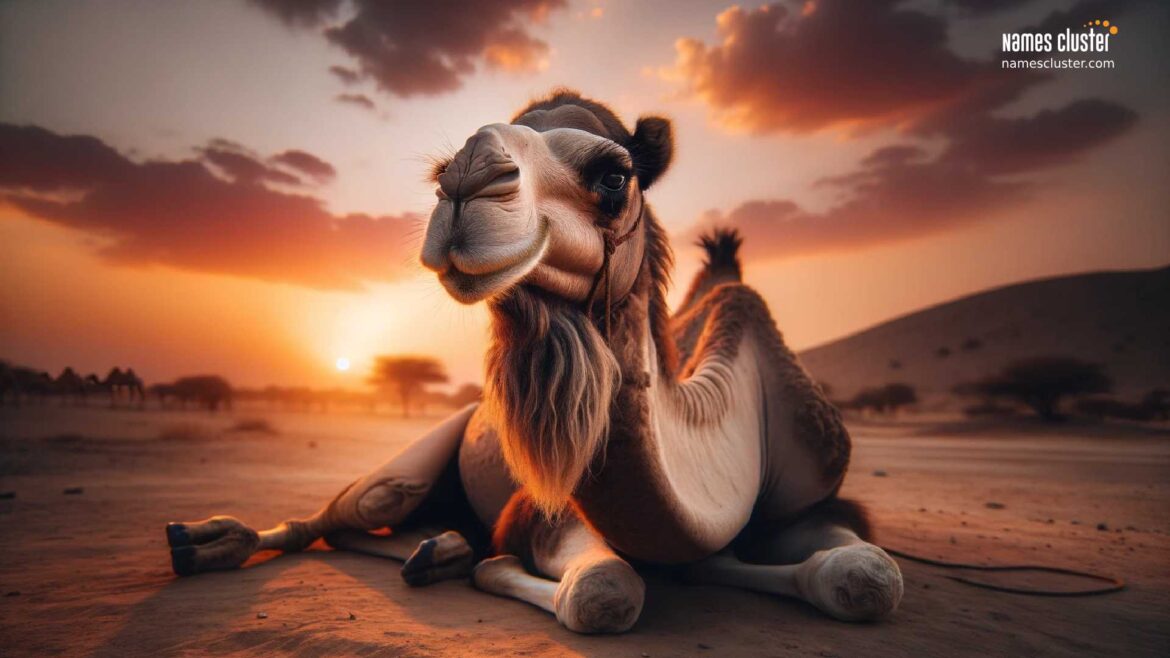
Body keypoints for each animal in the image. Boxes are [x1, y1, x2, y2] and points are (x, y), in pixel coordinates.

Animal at [166, 90, 903, 632]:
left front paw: (711, 566)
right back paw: (205, 542)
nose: (464, 180)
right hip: (399, 475)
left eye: (614, 175)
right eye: (438, 172)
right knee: (334, 517)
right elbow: (603, 589)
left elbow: (866, 576)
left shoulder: (818, 497)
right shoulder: (544, 510)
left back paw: (437, 552)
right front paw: (496, 567)